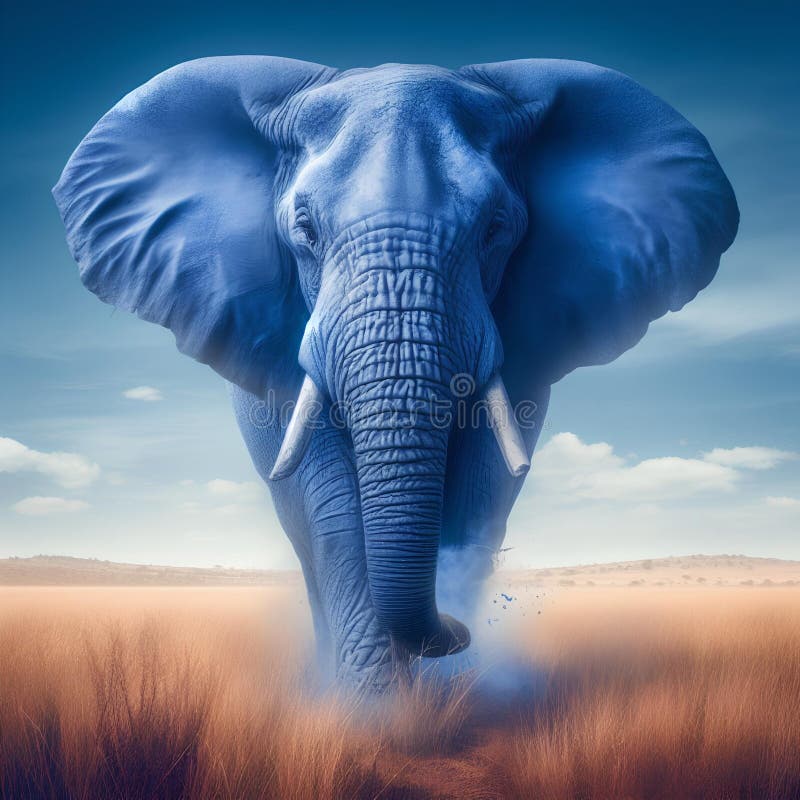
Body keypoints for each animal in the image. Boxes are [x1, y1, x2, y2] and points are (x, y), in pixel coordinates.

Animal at [53, 57, 738, 690]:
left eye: (495, 228)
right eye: (304, 229)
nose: (456, 629)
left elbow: (481, 487)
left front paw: (443, 699)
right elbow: (328, 504)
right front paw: (375, 717)